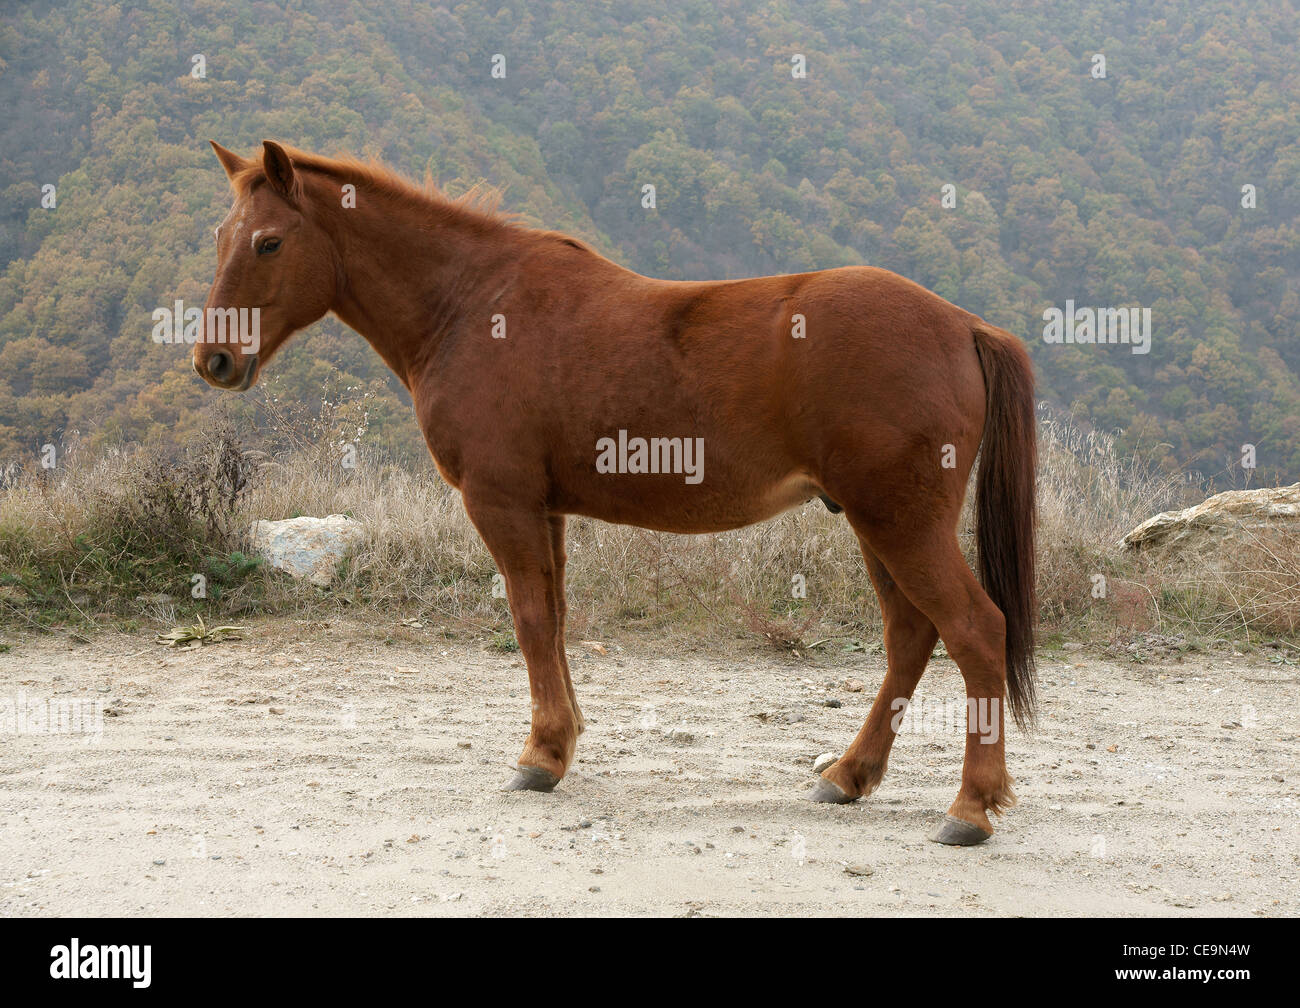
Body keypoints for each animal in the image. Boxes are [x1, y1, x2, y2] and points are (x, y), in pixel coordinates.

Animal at [195, 140, 1037, 845]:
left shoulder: (500, 502)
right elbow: (555, 619)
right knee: (911, 635)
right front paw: (560, 742)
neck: (473, 306)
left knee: (974, 630)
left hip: (899, 522)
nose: (214, 360)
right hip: (875, 523)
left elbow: (532, 621)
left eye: (269, 242)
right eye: (221, 236)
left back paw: (970, 808)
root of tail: (962, 324)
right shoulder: (545, 509)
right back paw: (850, 776)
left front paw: (539, 757)